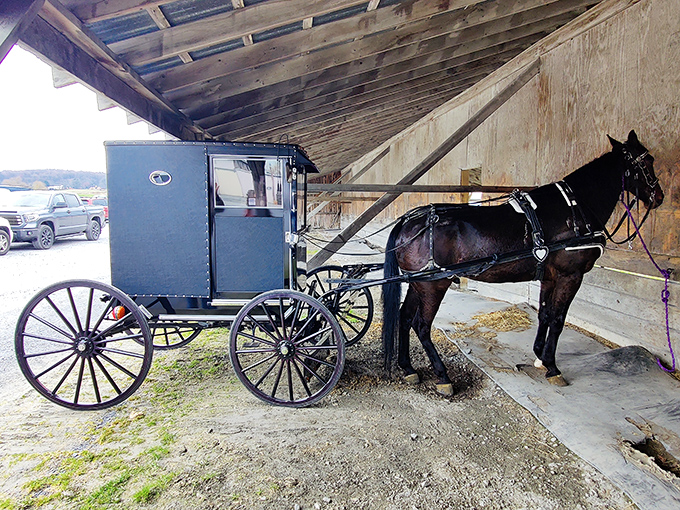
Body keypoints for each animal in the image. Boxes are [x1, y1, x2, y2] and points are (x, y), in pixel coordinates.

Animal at [381, 130, 664, 394]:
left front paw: (539, 355)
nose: (659, 196)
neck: (575, 207)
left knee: (404, 317)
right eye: (647, 160)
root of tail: (409, 221)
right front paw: (552, 366)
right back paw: (442, 376)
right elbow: (558, 318)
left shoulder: (550, 276)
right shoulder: (570, 275)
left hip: (418, 283)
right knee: (421, 326)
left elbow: (545, 313)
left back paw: (408, 368)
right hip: (433, 285)